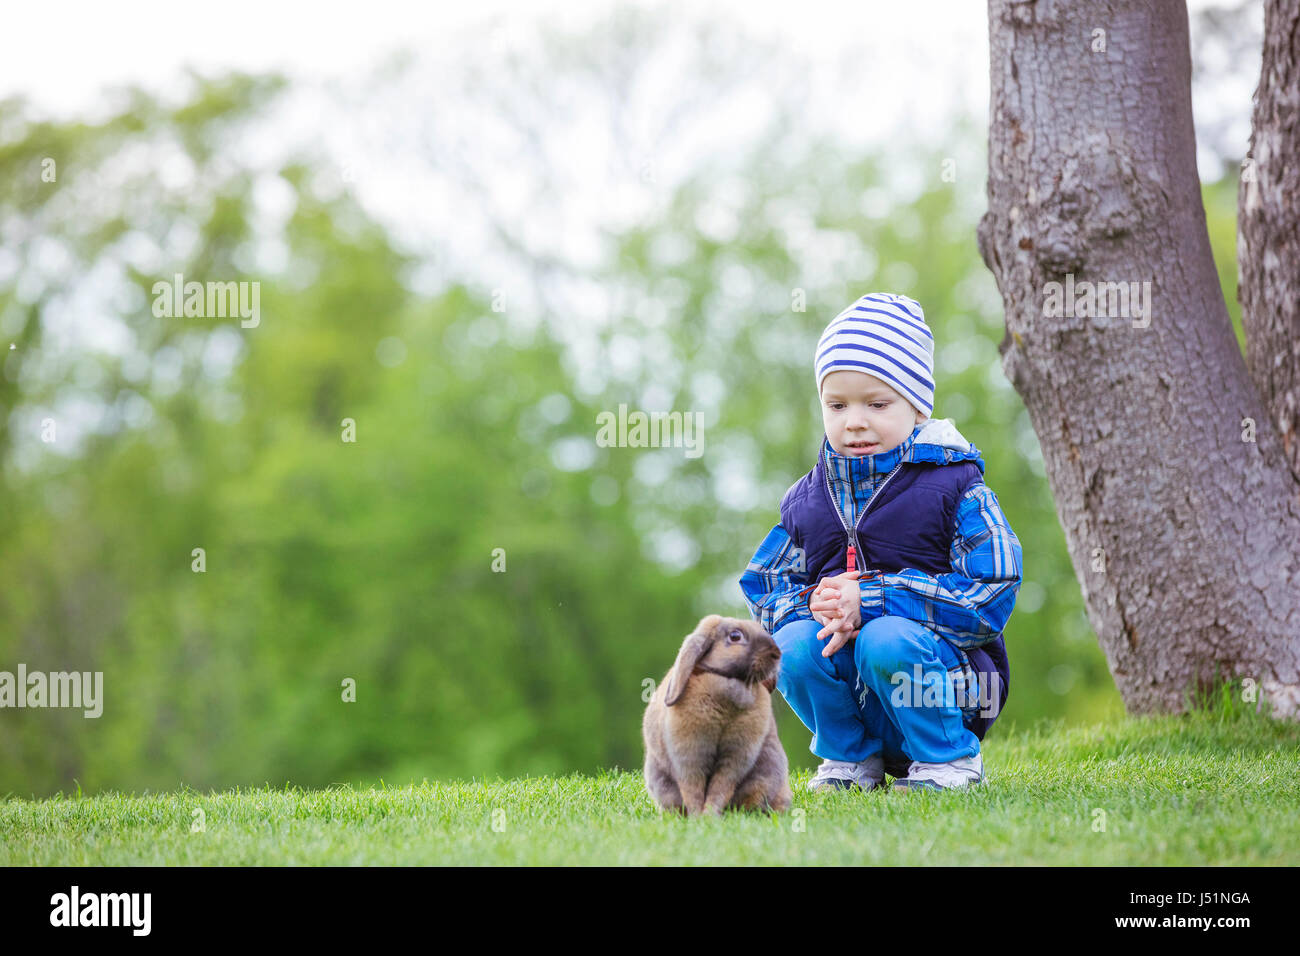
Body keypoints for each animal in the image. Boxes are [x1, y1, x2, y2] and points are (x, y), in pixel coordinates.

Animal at [642, 614, 793, 816]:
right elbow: (693, 790)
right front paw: (699, 817)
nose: (777, 654)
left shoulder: (736, 757)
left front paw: (709, 816)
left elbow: (720, 788)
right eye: (735, 636)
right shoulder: (689, 756)